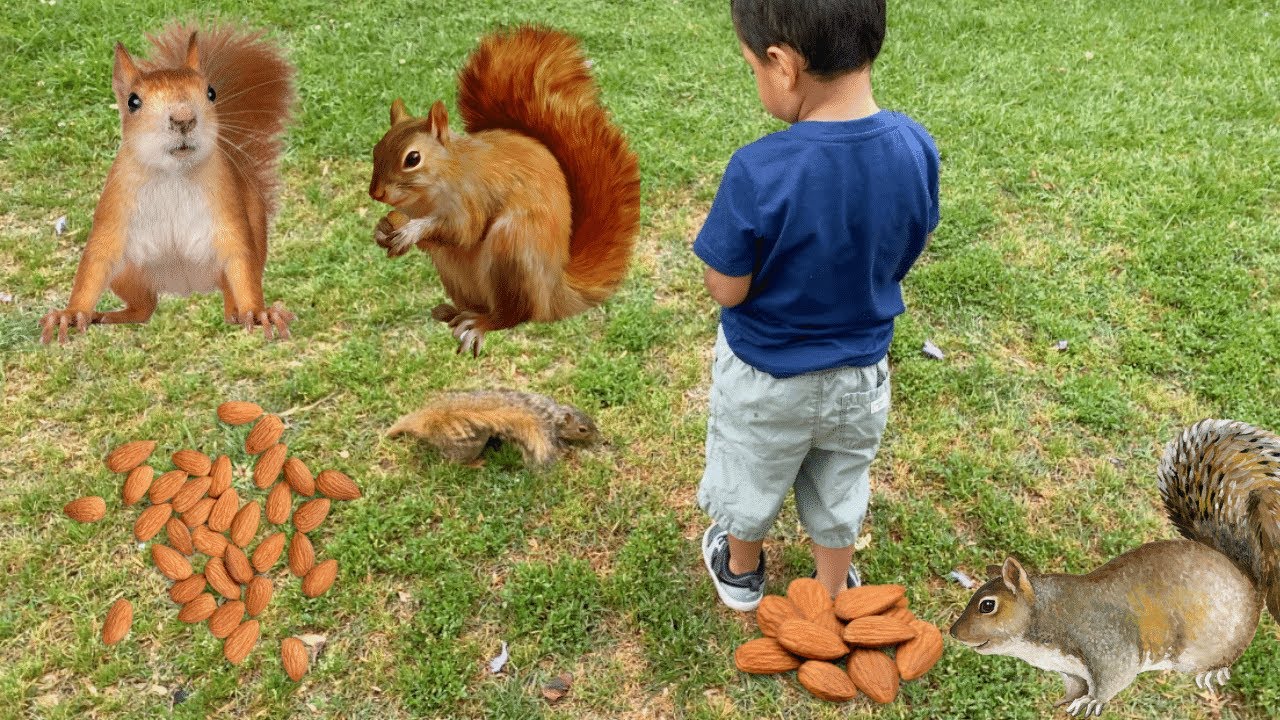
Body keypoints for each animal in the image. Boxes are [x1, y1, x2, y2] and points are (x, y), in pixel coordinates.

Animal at [39, 23, 297, 344]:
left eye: (211, 92)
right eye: (133, 101)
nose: (184, 118)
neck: (173, 174)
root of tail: (186, 287)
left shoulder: (228, 206)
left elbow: (238, 255)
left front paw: (259, 312)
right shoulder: (114, 203)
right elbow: (96, 260)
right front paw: (72, 314)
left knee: (229, 294)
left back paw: (238, 314)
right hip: (129, 272)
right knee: (144, 307)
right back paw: (108, 316)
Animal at [367, 25, 641, 356]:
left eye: (413, 159)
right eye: (376, 148)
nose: (376, 193)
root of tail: (552, 293)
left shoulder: (472, 195)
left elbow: (462, 230)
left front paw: (412, 231)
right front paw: (382, 229)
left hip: (511, 252)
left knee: (512, 315)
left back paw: (479, 324)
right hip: (457, 272)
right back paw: (452, 313)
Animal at [386, 390, 600, 468]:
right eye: (582, 429)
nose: (598, 436)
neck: (554, 416)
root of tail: (429, 427)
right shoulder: (548, 431)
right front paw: (567, 449)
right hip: (467, 448)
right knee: (453, 463)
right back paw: (475, 464)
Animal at [951, 419, 1280, 717]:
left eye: (987, 605)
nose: (954, 633)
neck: (1046, 615)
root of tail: (1250, 585)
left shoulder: (1106, 645)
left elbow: (1111, 679)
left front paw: (1091, 702)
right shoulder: (1071, 670)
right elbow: (1074, 685)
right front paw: (1066, 700)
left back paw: (1212, 671)